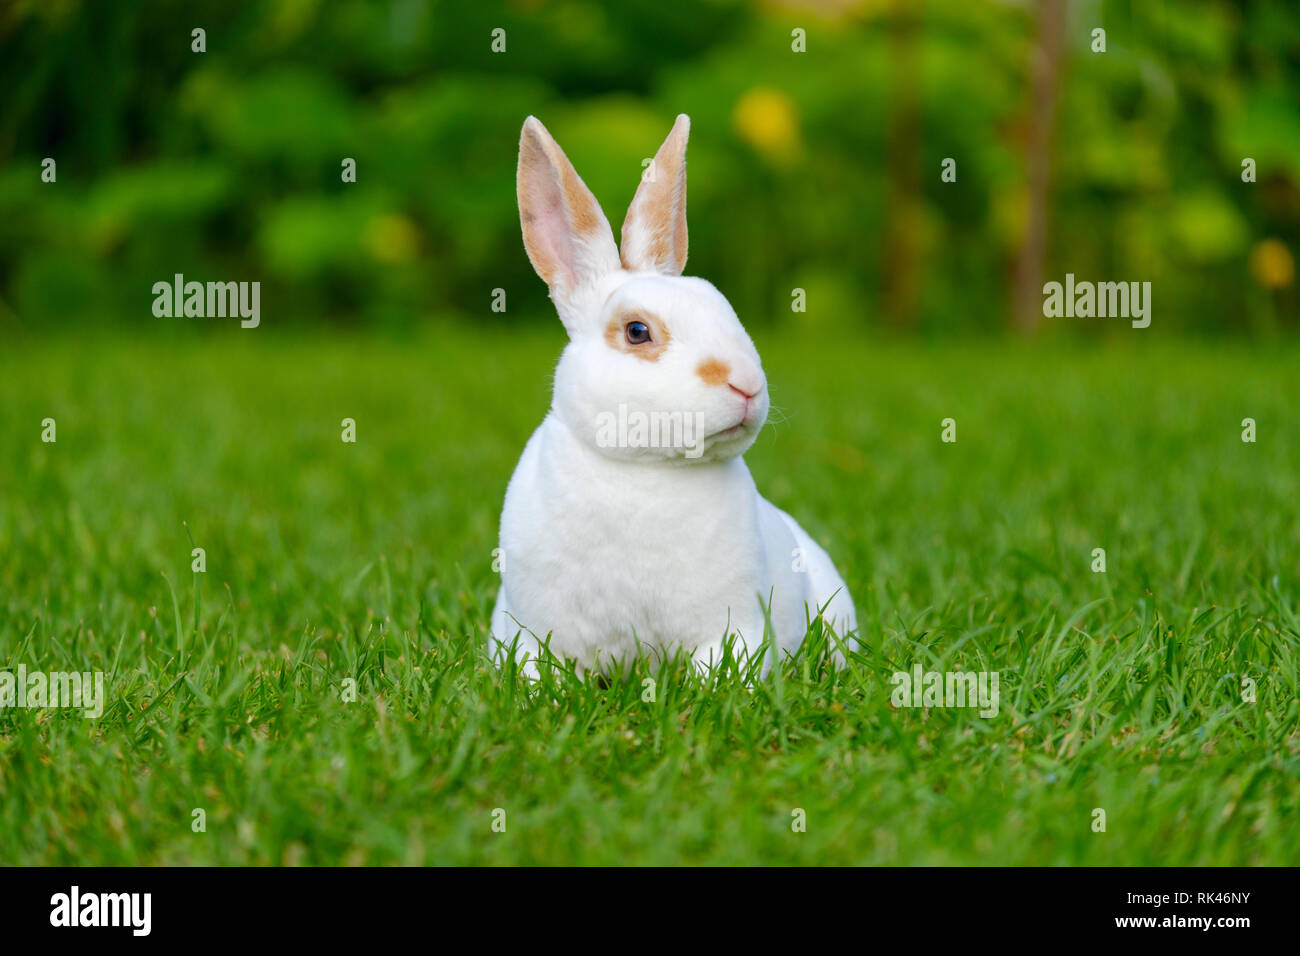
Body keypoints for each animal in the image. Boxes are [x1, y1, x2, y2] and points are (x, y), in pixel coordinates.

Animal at [490, 113, 856, 678]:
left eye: (724, 306)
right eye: (637, 331)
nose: (747, 384)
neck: (644, 467)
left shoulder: (733, 625)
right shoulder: (531, 631)